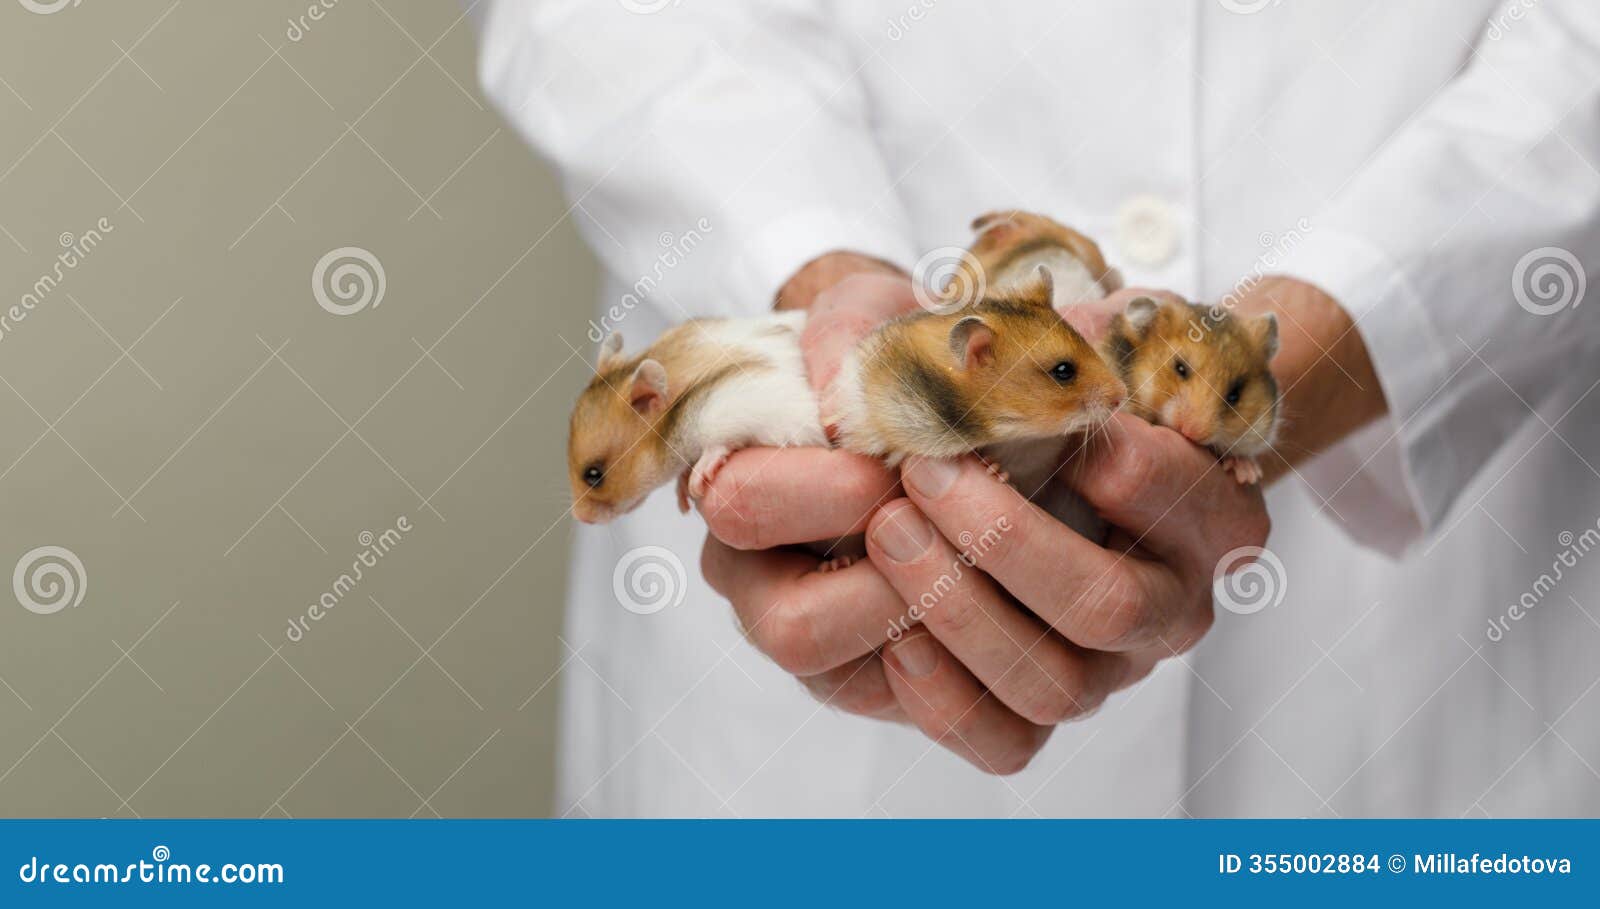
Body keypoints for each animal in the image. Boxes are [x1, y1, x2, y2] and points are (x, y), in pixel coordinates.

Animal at [567, 311, 827, 523]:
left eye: (594, 475)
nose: (580, 517)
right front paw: (683, 495)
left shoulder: (733, 407)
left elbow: (719, 443)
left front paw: (696, 481)